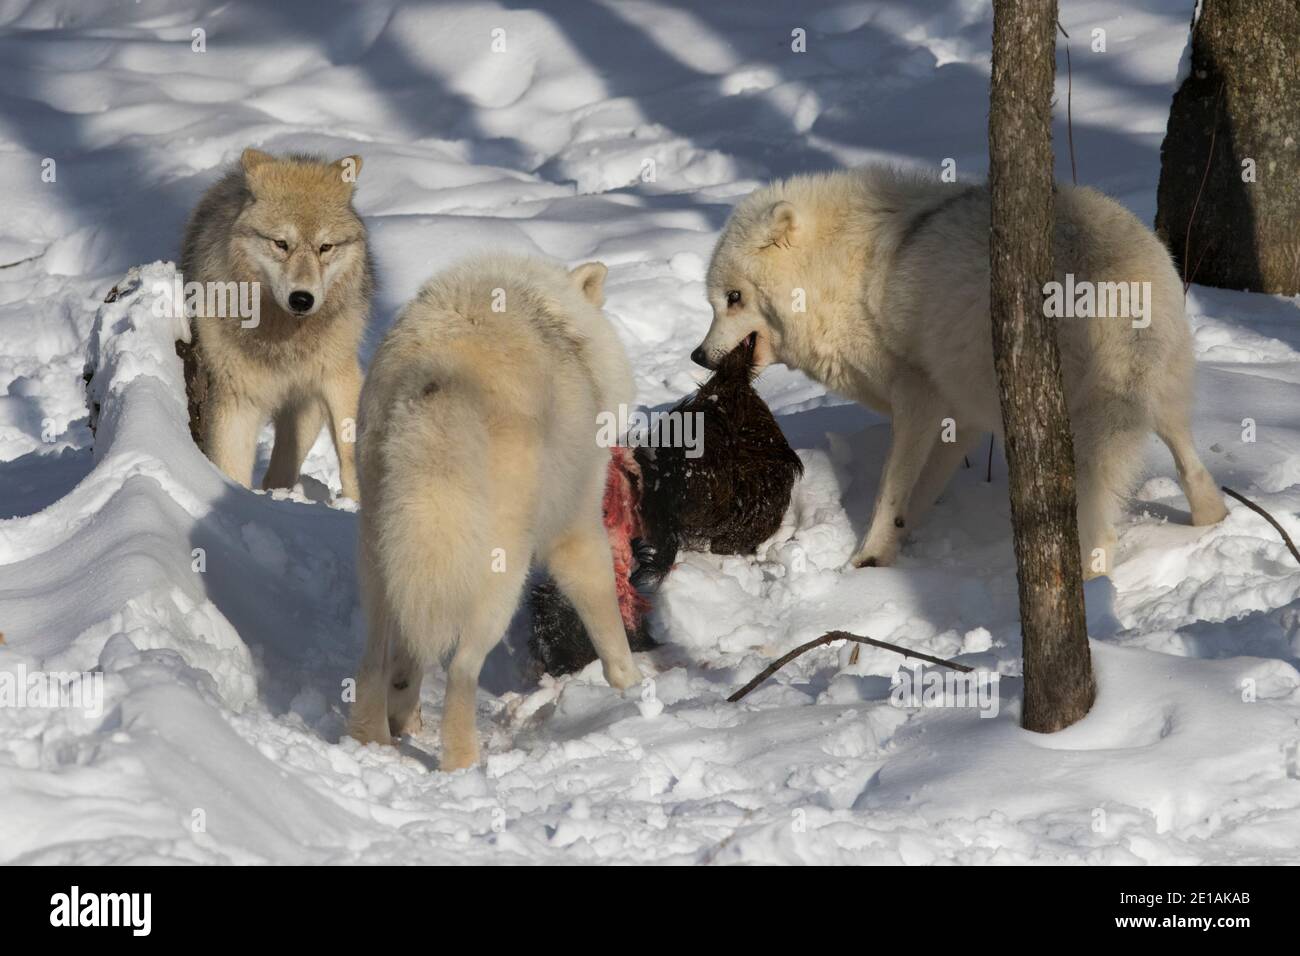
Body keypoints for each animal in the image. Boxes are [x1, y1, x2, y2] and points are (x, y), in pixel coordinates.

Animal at [180, 148, 373, 500]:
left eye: (325, 247)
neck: (285, 338)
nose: (302, 299)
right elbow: (231, 467)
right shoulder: (236, 396)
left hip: (306, 406)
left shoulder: (338, 376)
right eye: (281, 244)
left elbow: (351, 453)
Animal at [347, 253, 643, 769]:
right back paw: (462, 761)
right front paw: (633, 686)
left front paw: (404, 711)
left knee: (378, 655)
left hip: (382, 554)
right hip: (502, 574)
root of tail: (441, 381)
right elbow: (605, 616)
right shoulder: (576, 526)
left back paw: (374, 738)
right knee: (463, 669)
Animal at [693, 166, 1227, 575]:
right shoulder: (962, 413)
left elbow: (891, 488)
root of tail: (1123, 279)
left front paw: (868, 560)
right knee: (1192, 466)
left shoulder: (918, 396)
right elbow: (921, 490)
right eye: (713, 303)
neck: (837, 275)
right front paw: (900, 540)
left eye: (734, 298)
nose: (698, 357)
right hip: (1161, 398)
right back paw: (1212, 519)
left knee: (1102, 525)